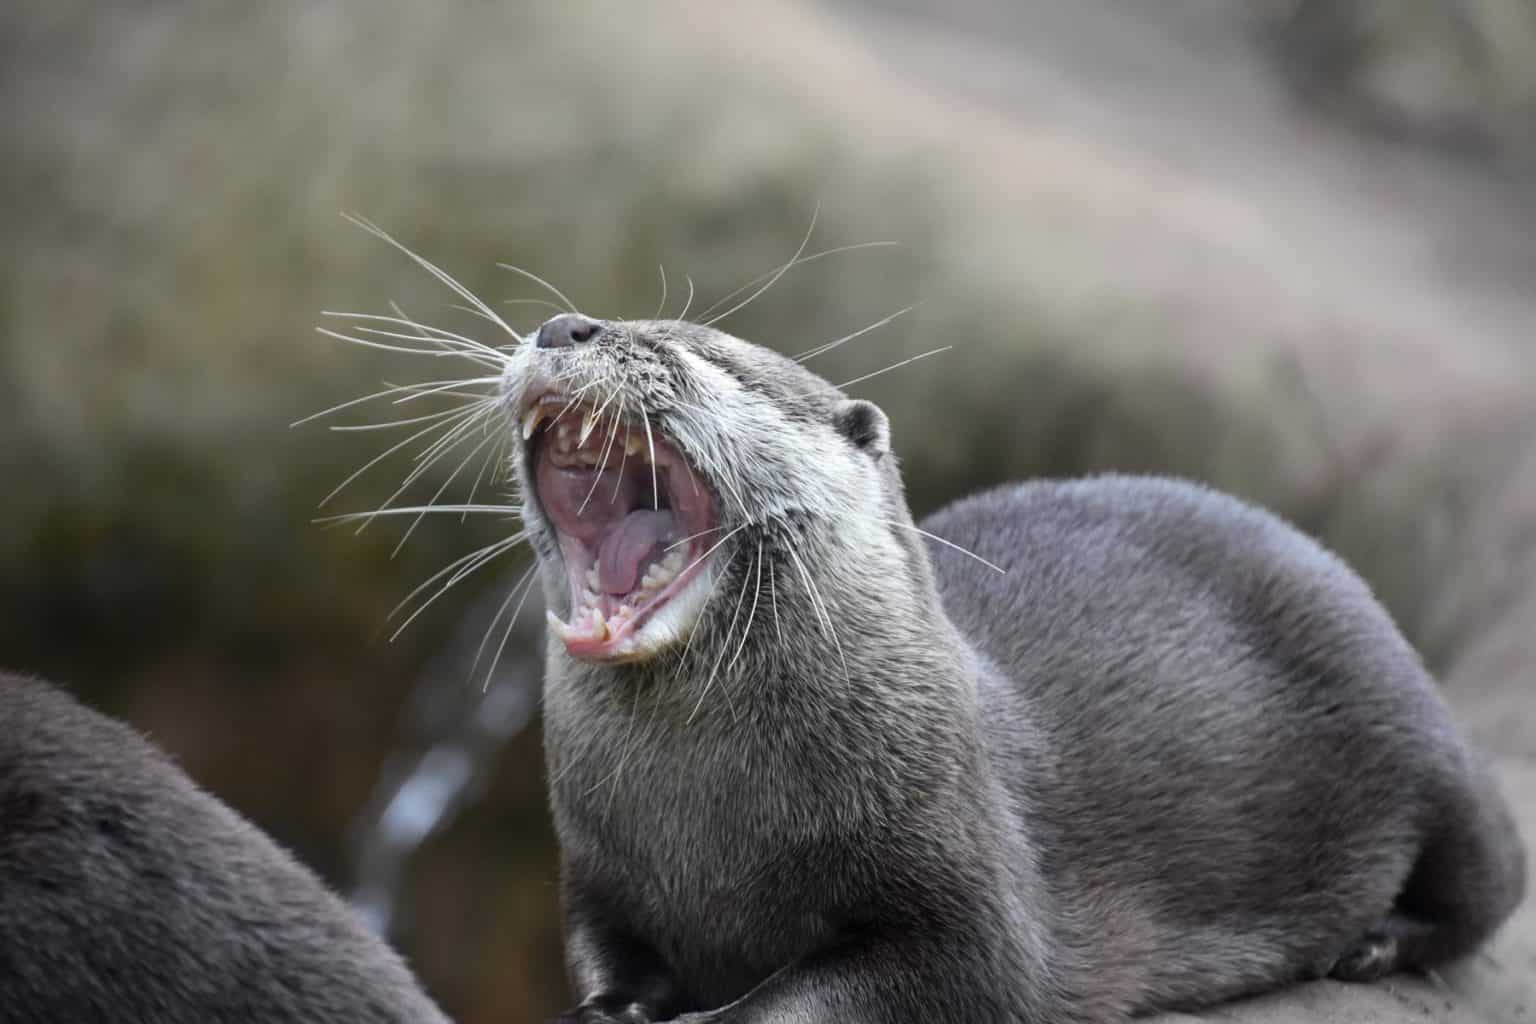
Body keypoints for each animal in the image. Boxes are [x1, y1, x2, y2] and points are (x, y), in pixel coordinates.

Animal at [505, 313, 1526, 1024]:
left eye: (703, 353)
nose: (565, 325)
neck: (711, 837)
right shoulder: (594, 867)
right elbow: (602, 949)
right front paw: (609, 1008)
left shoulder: (972, 880)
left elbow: (936, 979)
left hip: (1407, 722)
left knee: (1497, 880)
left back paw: (1376, 943)